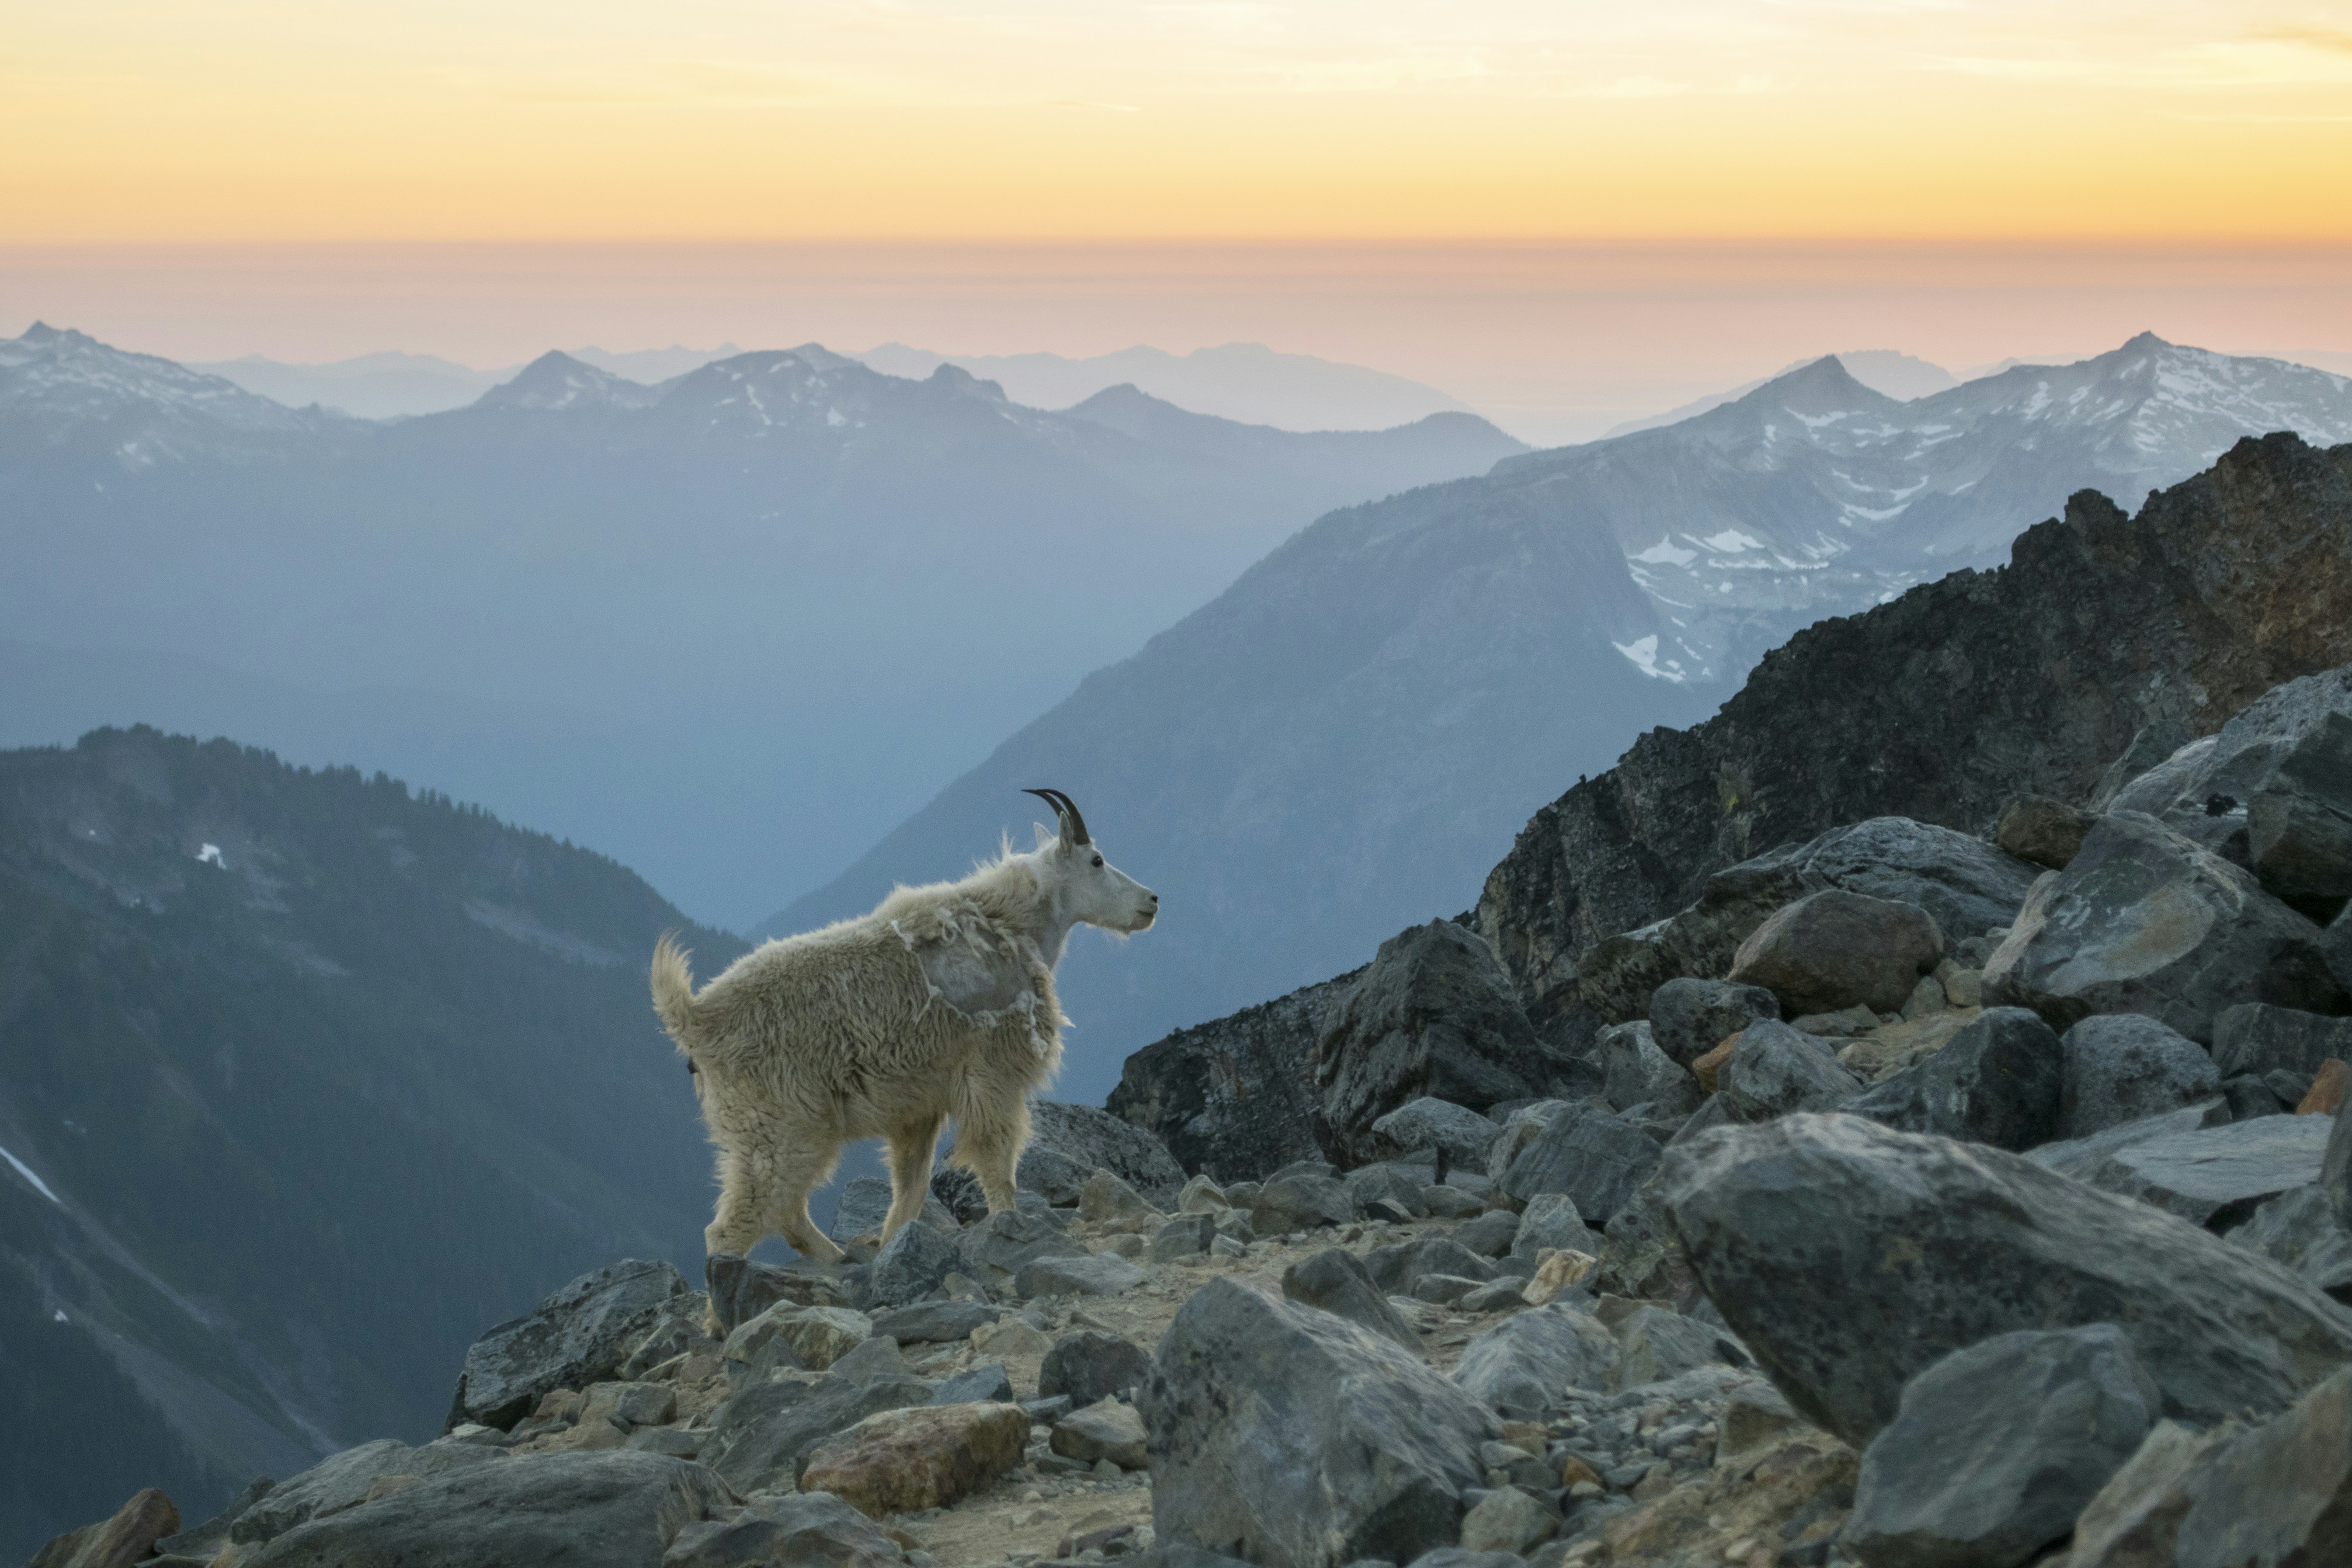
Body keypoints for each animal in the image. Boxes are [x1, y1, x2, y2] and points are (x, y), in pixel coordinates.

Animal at [650, 789, 1156, 1264]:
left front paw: (890, 1244)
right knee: (735, 1226)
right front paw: (1009, 1227)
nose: (1152, 901)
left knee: (787, 1214)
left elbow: (910, 1189)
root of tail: (695, 1020)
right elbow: (997, 1165)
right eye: (1096, 860)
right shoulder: (992, 1074)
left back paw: (838, 1260)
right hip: (774, 1129)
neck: (1013, 925)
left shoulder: (919, 1107)